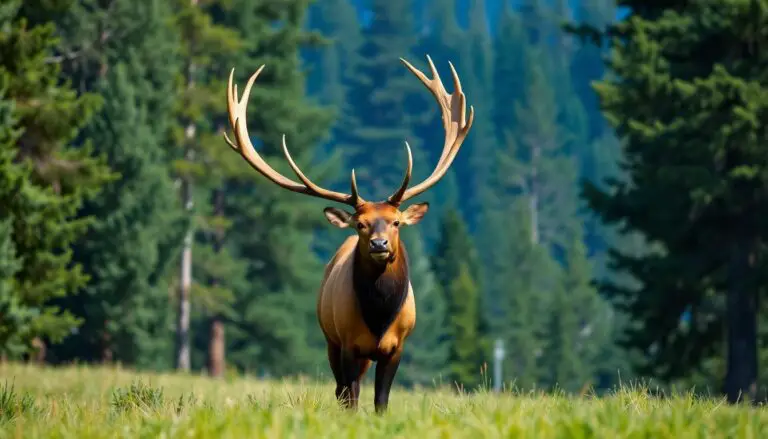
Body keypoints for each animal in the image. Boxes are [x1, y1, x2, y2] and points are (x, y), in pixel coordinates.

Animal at [222, 55, 473, 413]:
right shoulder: (347, 344)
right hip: (330, 339)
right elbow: (350, 398)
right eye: (360, 223)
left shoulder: (396, 348)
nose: (379, 243)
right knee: (340, 390)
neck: (379, 315)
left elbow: (381, 400)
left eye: (396, 222)